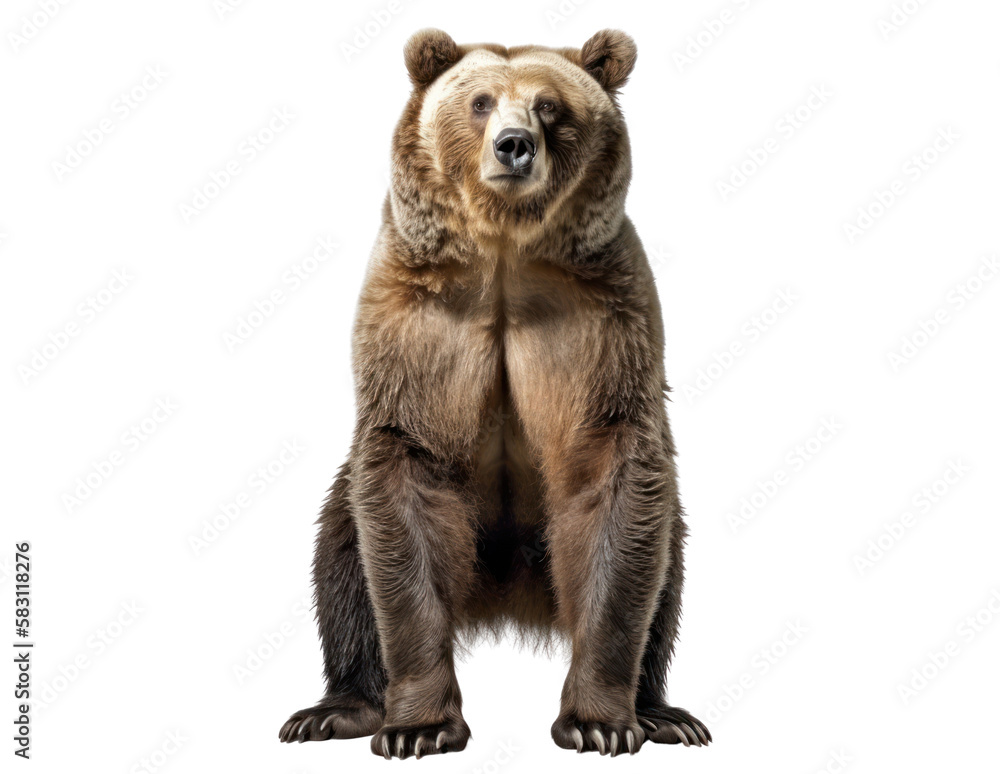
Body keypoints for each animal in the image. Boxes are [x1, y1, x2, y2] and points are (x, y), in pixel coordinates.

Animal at [278, 28, 711, 758]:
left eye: (549, 106)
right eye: (480, 101)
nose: (514, 144)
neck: (505, 252)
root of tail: (508, 602)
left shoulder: (601, 321)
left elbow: (616, 492)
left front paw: (599, 721)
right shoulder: (420, 327)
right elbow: (404, 496)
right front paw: (417, 728)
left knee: (668, 561)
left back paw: (663, 712)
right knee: (340, 555)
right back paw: (337, 708)